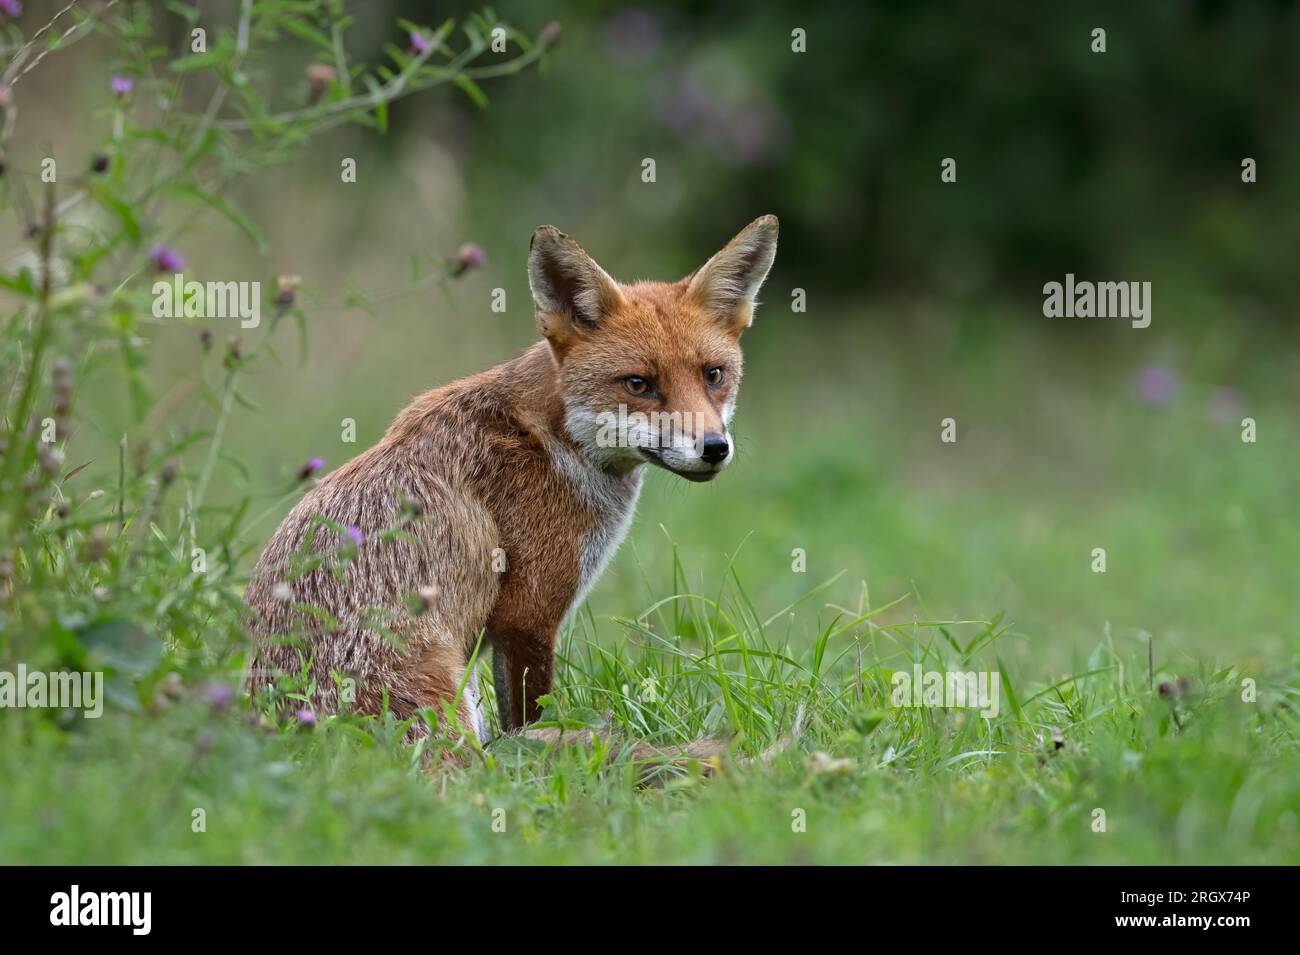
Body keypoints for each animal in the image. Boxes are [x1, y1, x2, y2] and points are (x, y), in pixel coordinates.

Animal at [244, 214, 779, 757]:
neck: (551, 439)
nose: (714, 447)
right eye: (638, 385)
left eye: (714, 376)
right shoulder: (527, 615)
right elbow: (531, 720)